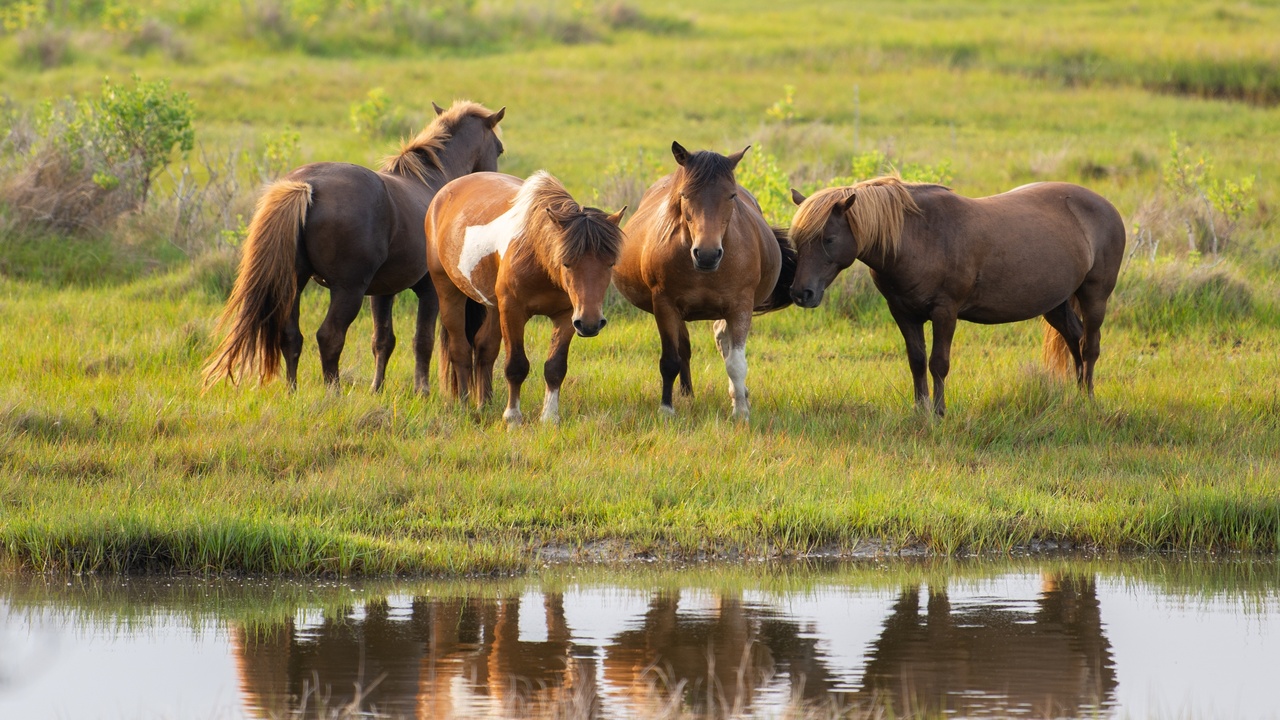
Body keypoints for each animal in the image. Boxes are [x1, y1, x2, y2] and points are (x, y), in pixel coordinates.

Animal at [203, 100, 505, 393]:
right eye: (500, 149)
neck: (432, 181)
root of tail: (307, 186)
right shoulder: (429, 290)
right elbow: (423, 341)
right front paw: (422, 391)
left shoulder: (383, 292)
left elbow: (383, 340)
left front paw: (376, 388)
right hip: (347, 290)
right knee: (329, 336)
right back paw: (333, 393)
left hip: (295, 284)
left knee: (291, 336)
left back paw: (292, 391)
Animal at [425, 171, 625, 424]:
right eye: (566, 263)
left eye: (610, 264)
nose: (590, 324)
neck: (536, 254)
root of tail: (444, 193)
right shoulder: (513, 311)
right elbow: (516, 366)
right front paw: (512, 418)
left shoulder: (567, 316)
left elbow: (555, 367)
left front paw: (549, 418)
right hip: (449, 291)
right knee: (460, 350)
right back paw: (464, 405)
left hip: (494, 307)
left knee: (484, 348)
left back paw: (484, 405)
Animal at [613, 142, 796, 420]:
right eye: (685, 195)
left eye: (731, 196)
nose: (707, 254)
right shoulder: (665, 305)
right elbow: (670, 360)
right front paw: (666, 410)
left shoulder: (740, 306)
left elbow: (736, 363)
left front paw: (741, 411)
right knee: (686, 349)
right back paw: (688, 393)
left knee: (723, 341)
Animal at [788, 177, 1126, 416]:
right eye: (797, 238)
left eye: (829, 239)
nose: (801, 293)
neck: (919, 237)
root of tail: (1107, 207)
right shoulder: (903, 313)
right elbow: (916, 360)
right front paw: (920, 410)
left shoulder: (945, 312)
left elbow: (938, 363)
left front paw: (939, 413)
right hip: (1055, 304)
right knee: (1075, 341)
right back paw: (1078, 397)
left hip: (1095, 297)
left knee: (1090, 347)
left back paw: (1089, 402)